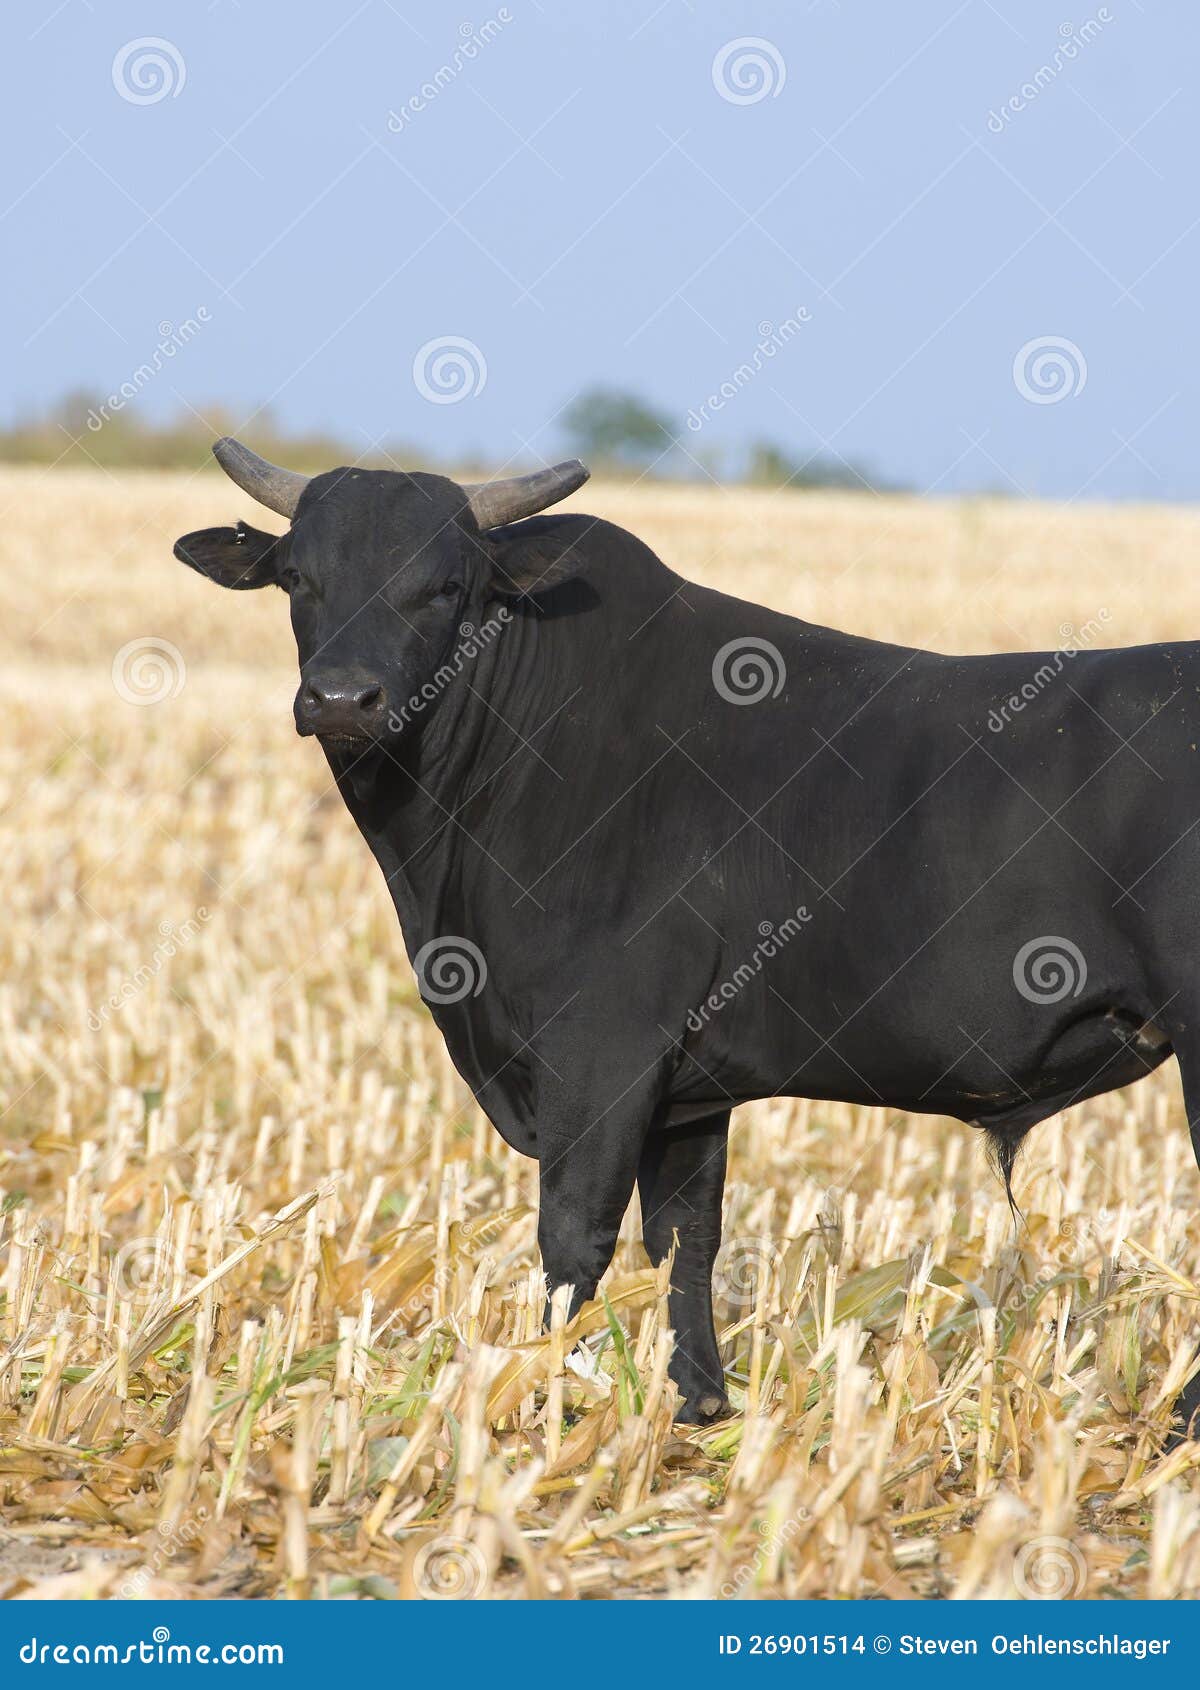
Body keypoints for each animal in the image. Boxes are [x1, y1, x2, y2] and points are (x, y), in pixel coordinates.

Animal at [175, 437, 1200, 1434]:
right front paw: (699, 1403)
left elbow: (573, 1234)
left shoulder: (601, 1050)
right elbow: (685, 1238)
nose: (341, 699)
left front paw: (534, 1402)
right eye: (297, 576)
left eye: (446, 585)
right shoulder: (691, 1088)